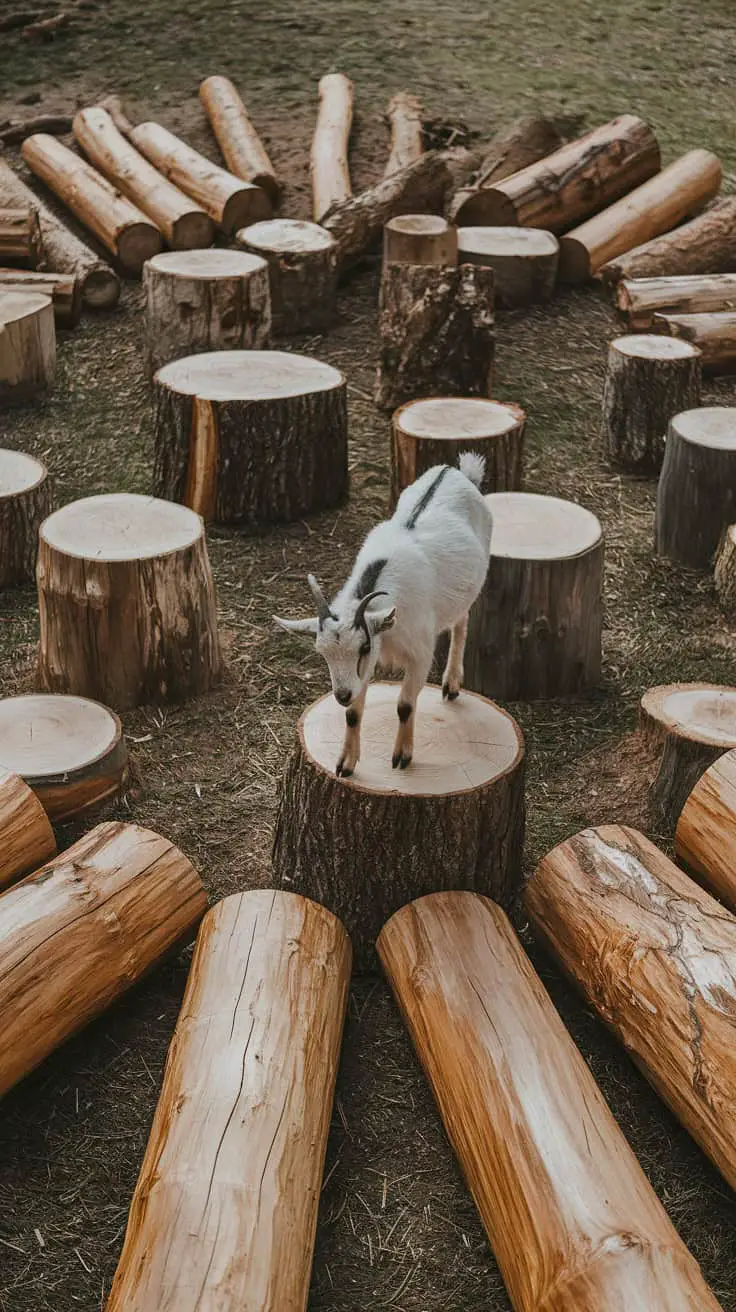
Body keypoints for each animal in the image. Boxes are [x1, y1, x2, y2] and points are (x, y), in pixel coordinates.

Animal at [274, 452, 492, 778]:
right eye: (322, 653)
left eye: (363, 647)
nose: (341, 695)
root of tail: (455, 471)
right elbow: (353, 714)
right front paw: (345, 763)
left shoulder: (419, 655)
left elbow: (405, 706)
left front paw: (402, 756)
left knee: (461, 624)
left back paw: (452, 683)